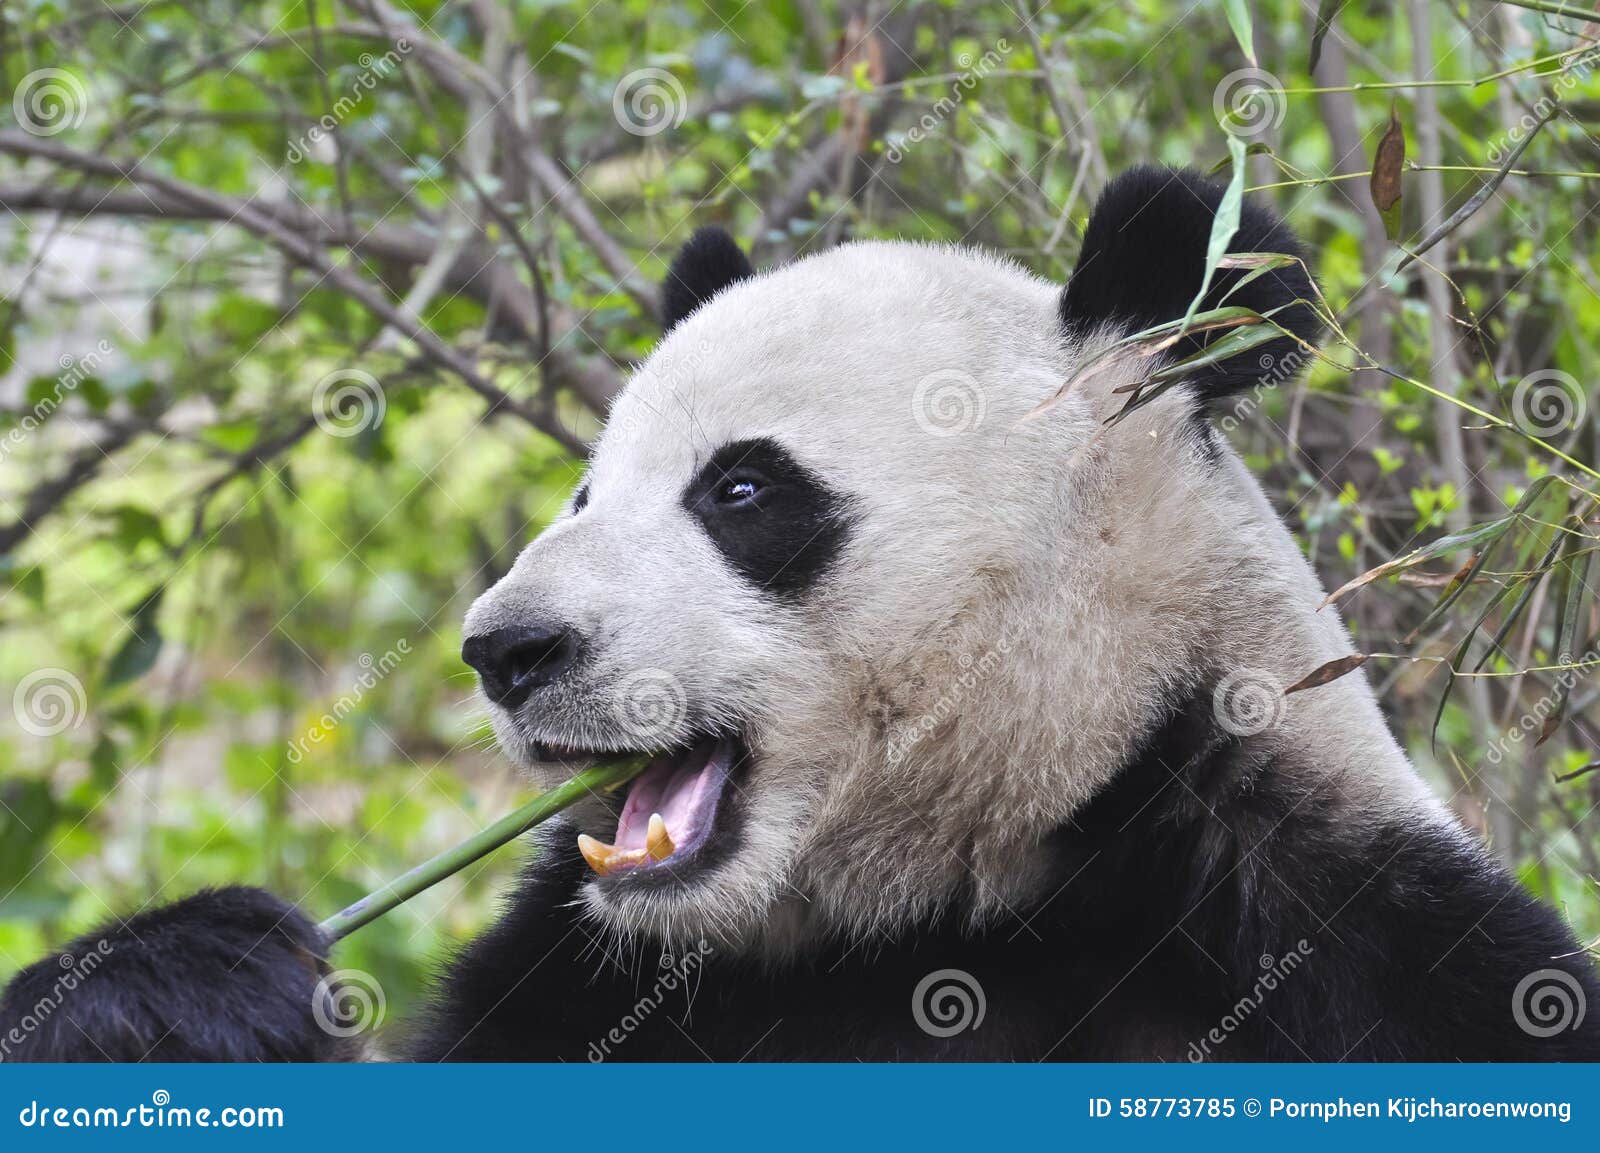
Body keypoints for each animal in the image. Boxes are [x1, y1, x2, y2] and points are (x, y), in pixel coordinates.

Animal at [4, 166, 1598, 1062]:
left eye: (742, 490)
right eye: (585, 489)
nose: (508, 651)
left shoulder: (1344, 934)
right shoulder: (586, 987)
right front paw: (183, 985)